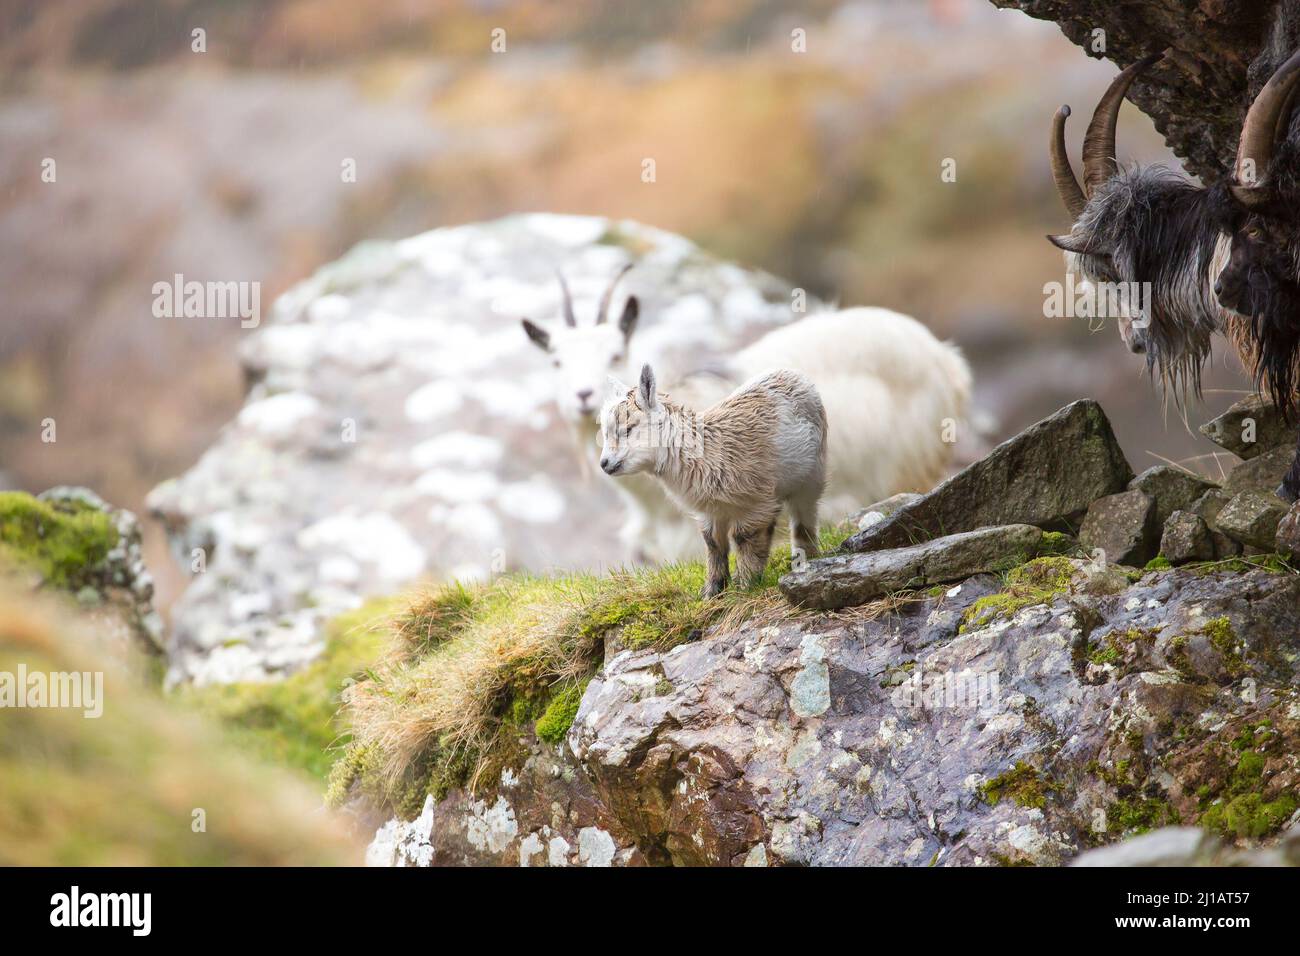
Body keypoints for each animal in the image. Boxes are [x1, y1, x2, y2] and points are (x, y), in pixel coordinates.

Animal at [599, 364, 827, 597]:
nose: (604, 463)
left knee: (803, 519)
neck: (705, 453)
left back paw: (805, 558)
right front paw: (712, 591)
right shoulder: (711, 510)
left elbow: (743, 537)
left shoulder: (755, 502)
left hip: (812, 475)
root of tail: (791, 374)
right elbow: (713, 542)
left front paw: (745, 587)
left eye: (627, 429)